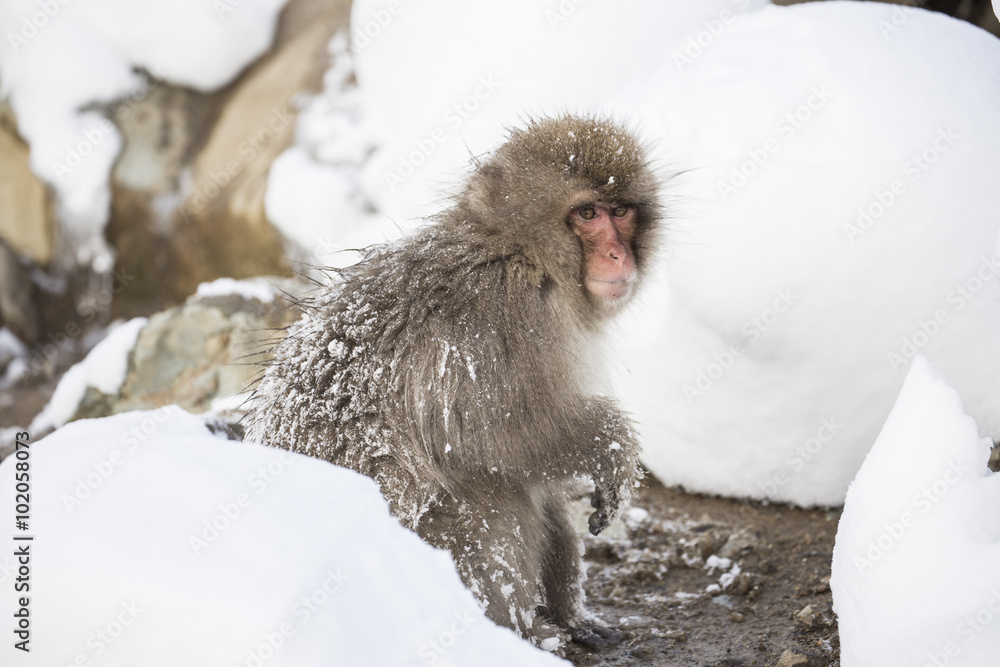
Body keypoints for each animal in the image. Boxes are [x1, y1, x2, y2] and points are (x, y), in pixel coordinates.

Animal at [247, 115, 661, 649]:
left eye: (622, 211)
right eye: (587, 213)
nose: (617, 254)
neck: (515, 252)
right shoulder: (499, 317)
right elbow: (500, 432)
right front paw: (614, 449)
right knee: (491, 496)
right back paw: (520, 634)